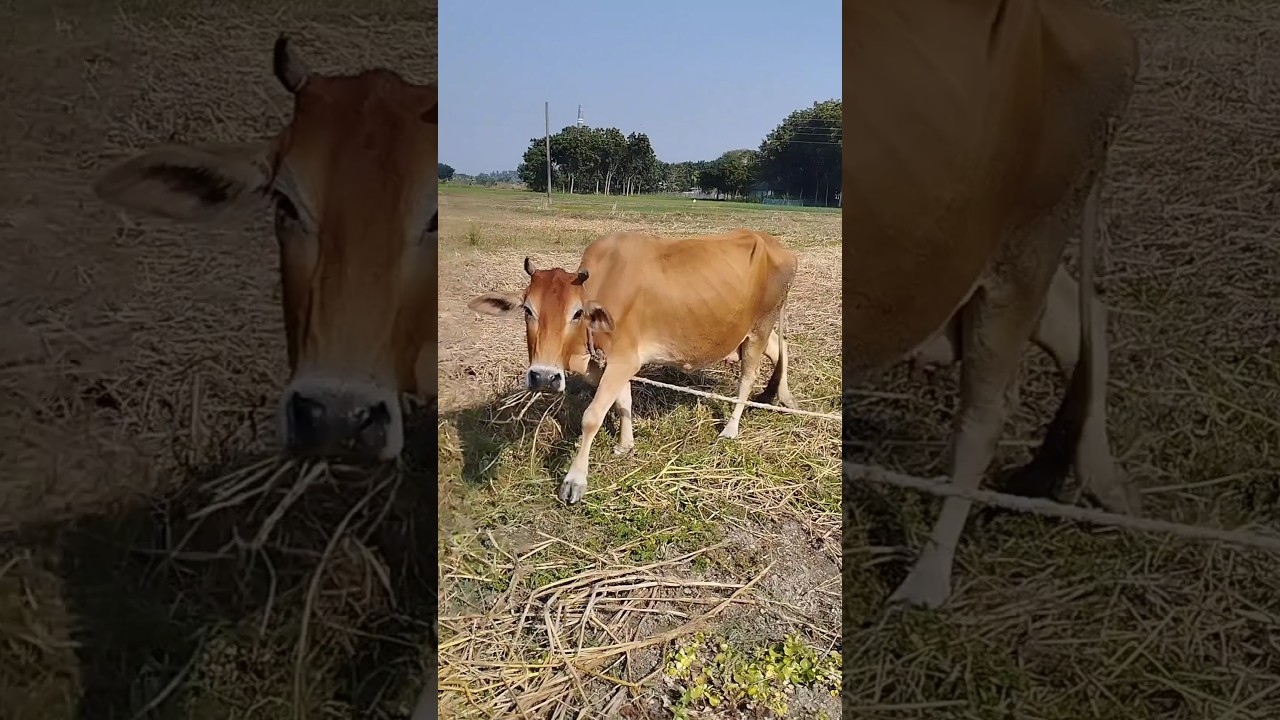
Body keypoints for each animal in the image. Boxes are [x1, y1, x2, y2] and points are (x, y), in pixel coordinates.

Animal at [467, 229, 799, 504]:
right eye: (527, 309)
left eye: (577, 313)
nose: (544, 377)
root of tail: (778, 246)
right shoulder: (611, 363)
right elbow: (623, 401)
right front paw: (626, 444)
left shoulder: (624, 359)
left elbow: (593, 416)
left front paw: (575, 481)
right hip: (750, 330)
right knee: (779, 346)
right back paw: (785, 397)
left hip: (760, 325)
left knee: (748, 376)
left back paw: (731, 428)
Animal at [845, 0, 1144, 609]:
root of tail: (1106, 26)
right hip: (1012, 248)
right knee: (1077, 320)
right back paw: (1101, 483)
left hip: (1028, 244)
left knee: (984, 415)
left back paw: (927, 582)